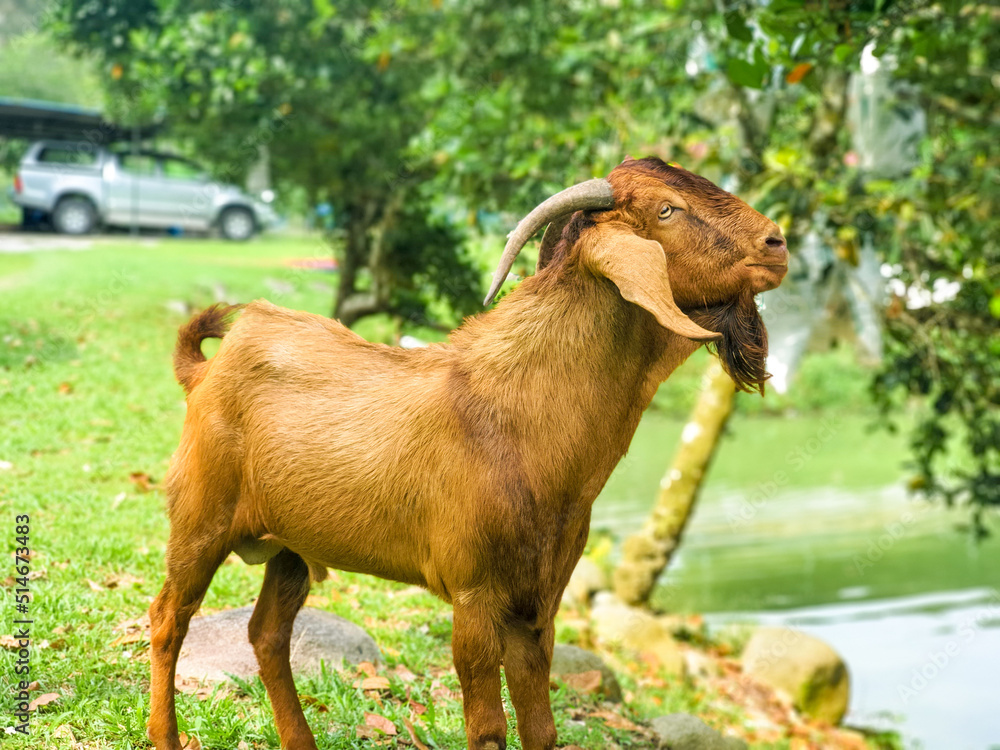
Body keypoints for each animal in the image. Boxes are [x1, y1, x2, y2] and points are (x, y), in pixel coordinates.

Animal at [147, 156, 787, 750]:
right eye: (666, 209)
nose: (776, 243)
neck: (518, 416)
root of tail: (205, 370)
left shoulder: (539, 602)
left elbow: (541, 726)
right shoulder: (476, 594)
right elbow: (486, 728)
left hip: (290, 547)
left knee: (267, 634)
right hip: (201, 519)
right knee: (168, 618)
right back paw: (166, 735)